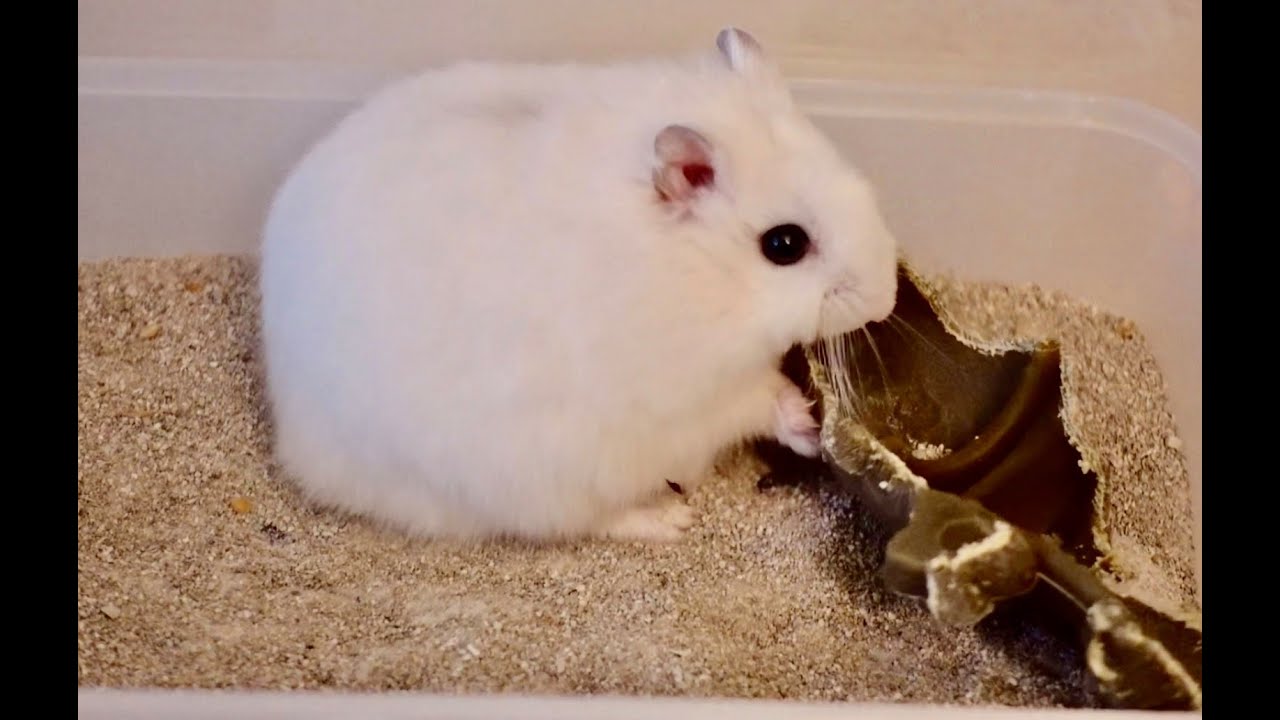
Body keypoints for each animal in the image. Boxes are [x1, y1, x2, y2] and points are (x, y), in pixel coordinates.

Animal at [259, 28, 899, 543]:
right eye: (784, 245)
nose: (885, 299)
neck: (701, 278)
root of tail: (294, 450)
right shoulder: (692, 397)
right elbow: (759, 399)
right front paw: (811, 426)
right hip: (544, 482)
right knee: (592, 522)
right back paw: (672, 521)